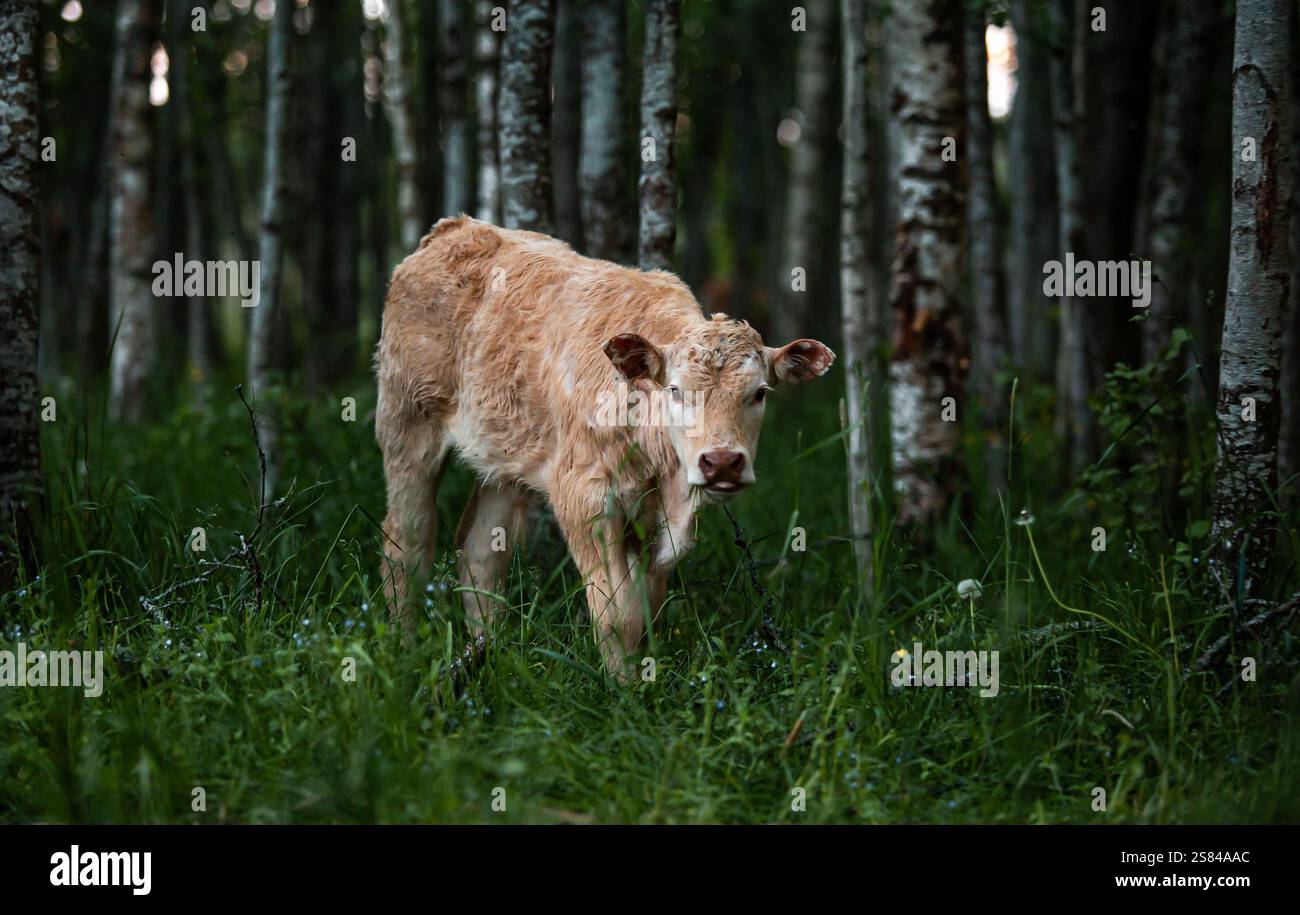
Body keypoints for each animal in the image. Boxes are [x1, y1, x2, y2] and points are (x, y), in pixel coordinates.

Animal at [375, 216, 834, 680]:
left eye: (759, 393)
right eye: (675, 390)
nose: (721, 461)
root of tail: (455, 228)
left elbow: (647, 609)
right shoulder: (585, 498)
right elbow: (616, 614)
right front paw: (621, 687)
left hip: (504, 462)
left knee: (480, 558)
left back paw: (485, 653)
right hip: (407, 426)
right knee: (406, 545)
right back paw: (405, 650)